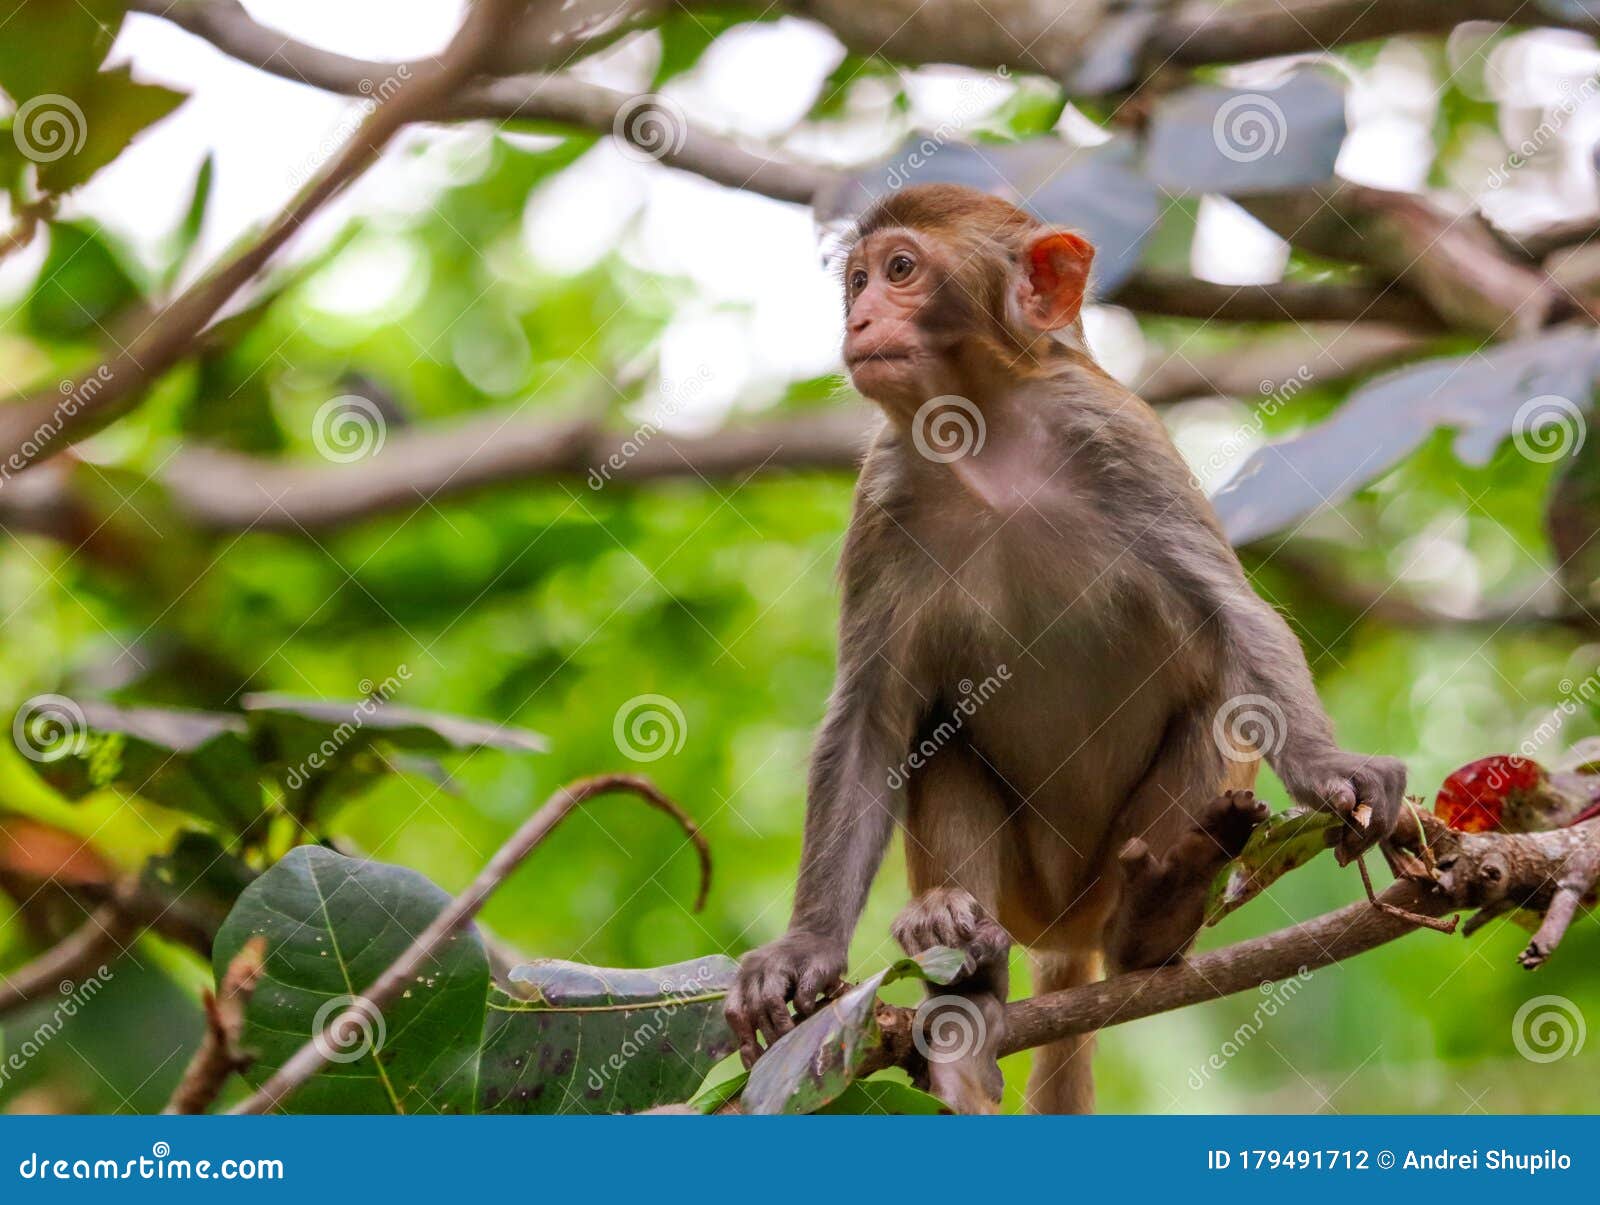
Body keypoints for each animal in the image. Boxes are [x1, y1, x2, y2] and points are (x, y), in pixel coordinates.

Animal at [724, 183, 1407, 1114]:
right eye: (856, 281)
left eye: (900, 269)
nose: (859, 319)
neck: (985, 436)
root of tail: (1064, 932)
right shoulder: (884, 497)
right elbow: (871, 715)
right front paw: (806, 947)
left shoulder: (1116, 437)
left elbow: (1236, 620)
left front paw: (1333, 767)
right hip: (1026, 893)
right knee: (939, 741)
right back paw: (963, 964)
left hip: (1107, 876)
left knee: (1221, 705)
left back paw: (1155, 917)